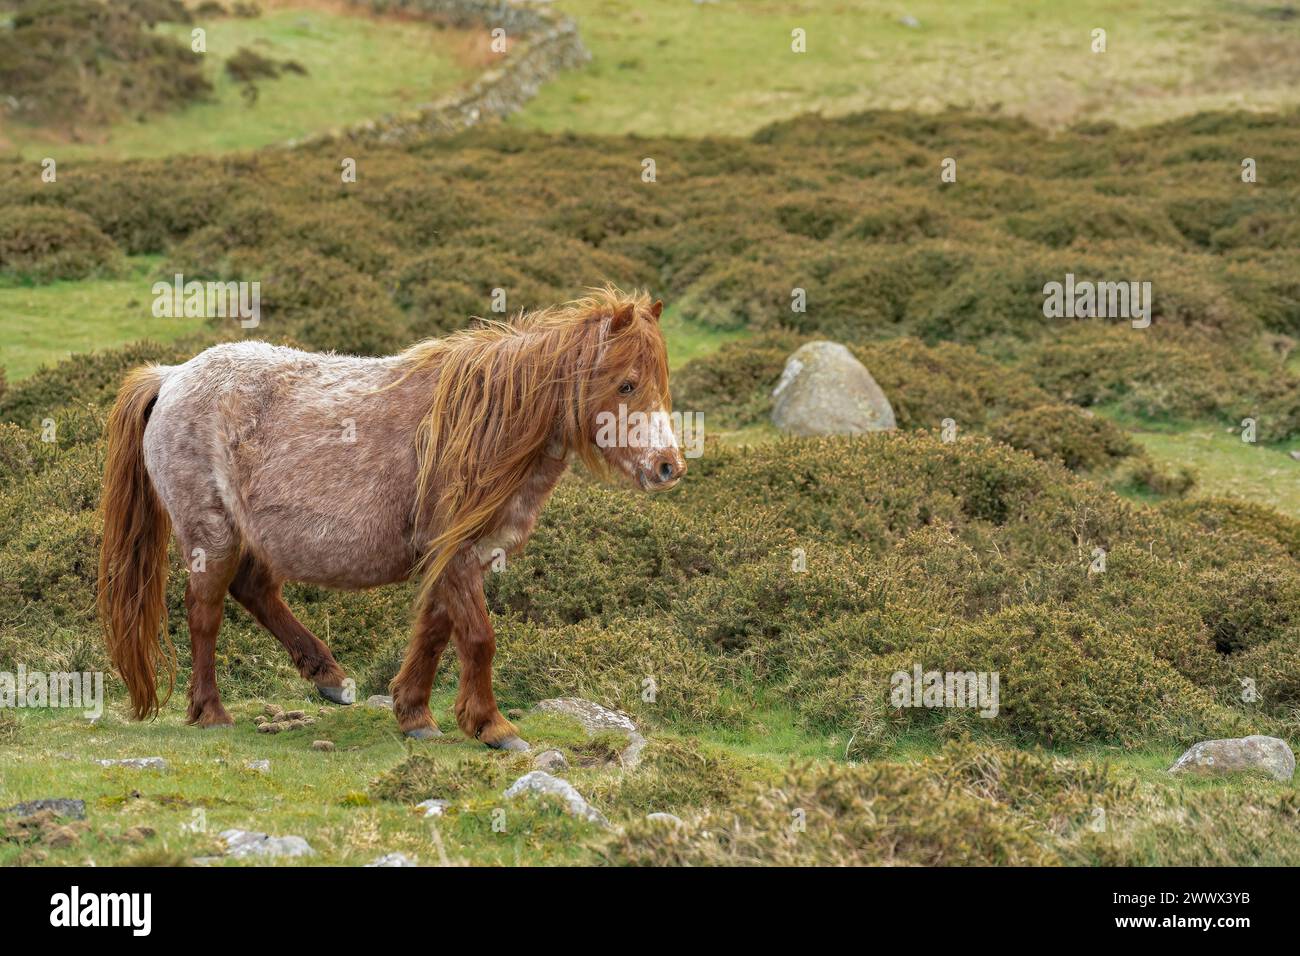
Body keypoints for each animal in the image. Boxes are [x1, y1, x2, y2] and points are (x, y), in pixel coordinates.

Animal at [97, 289, 686, 751]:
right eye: (626, 384)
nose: (668, 467)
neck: (486, 423)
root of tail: (172, 376)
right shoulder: (455, 551)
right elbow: (478, 636)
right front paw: (494, 727)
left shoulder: (458, 552)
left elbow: (435, 629)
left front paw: (416, 714)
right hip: (210, 532)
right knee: (205, 612)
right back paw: (212, 712)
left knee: (254, 590)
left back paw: (330, 678)